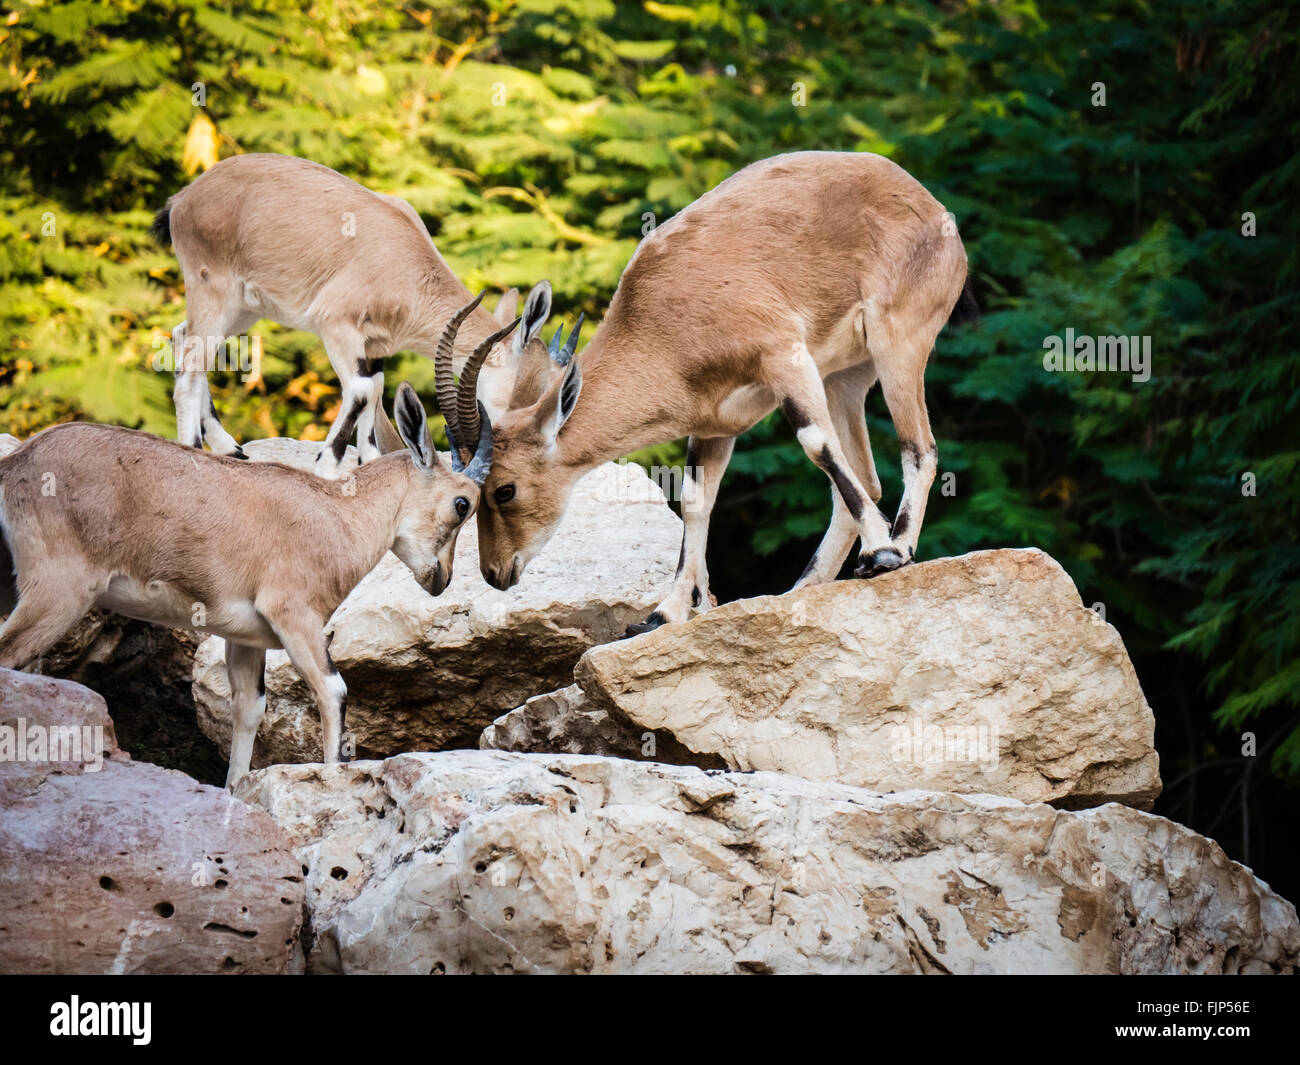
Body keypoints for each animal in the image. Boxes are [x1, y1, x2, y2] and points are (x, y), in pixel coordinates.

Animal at [0, 301, 512, 786]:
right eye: (463, 504)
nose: (441, 579)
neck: (339, 514)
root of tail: (17, 464)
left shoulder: (244, 638)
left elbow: (249, 710)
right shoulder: (294, 616)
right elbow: (334, 692)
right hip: (58, 591)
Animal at [152, 152, 555, 478]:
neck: (402, 257)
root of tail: (182, 200)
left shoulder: (373, 343)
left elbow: (375, 387)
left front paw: (371, 461)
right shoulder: (336, 325)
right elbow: (360, 390)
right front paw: (327, 466)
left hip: (244, 309)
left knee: (183, 338)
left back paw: (227, 446)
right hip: (215, 293)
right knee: (190, 362)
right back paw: (193, 451)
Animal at [472, 151, 972, 632]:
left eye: (505, 490)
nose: (496, 573)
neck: (663, 322)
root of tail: (933, 208)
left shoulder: (784, 355)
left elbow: (817, 446)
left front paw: (882, 551)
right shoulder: (713, 423)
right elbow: (695, 500)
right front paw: (664, 613)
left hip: (898, 341)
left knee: (919, 448)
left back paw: (892, 551)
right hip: (844, 379)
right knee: (867, 476)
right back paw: (806, 586)